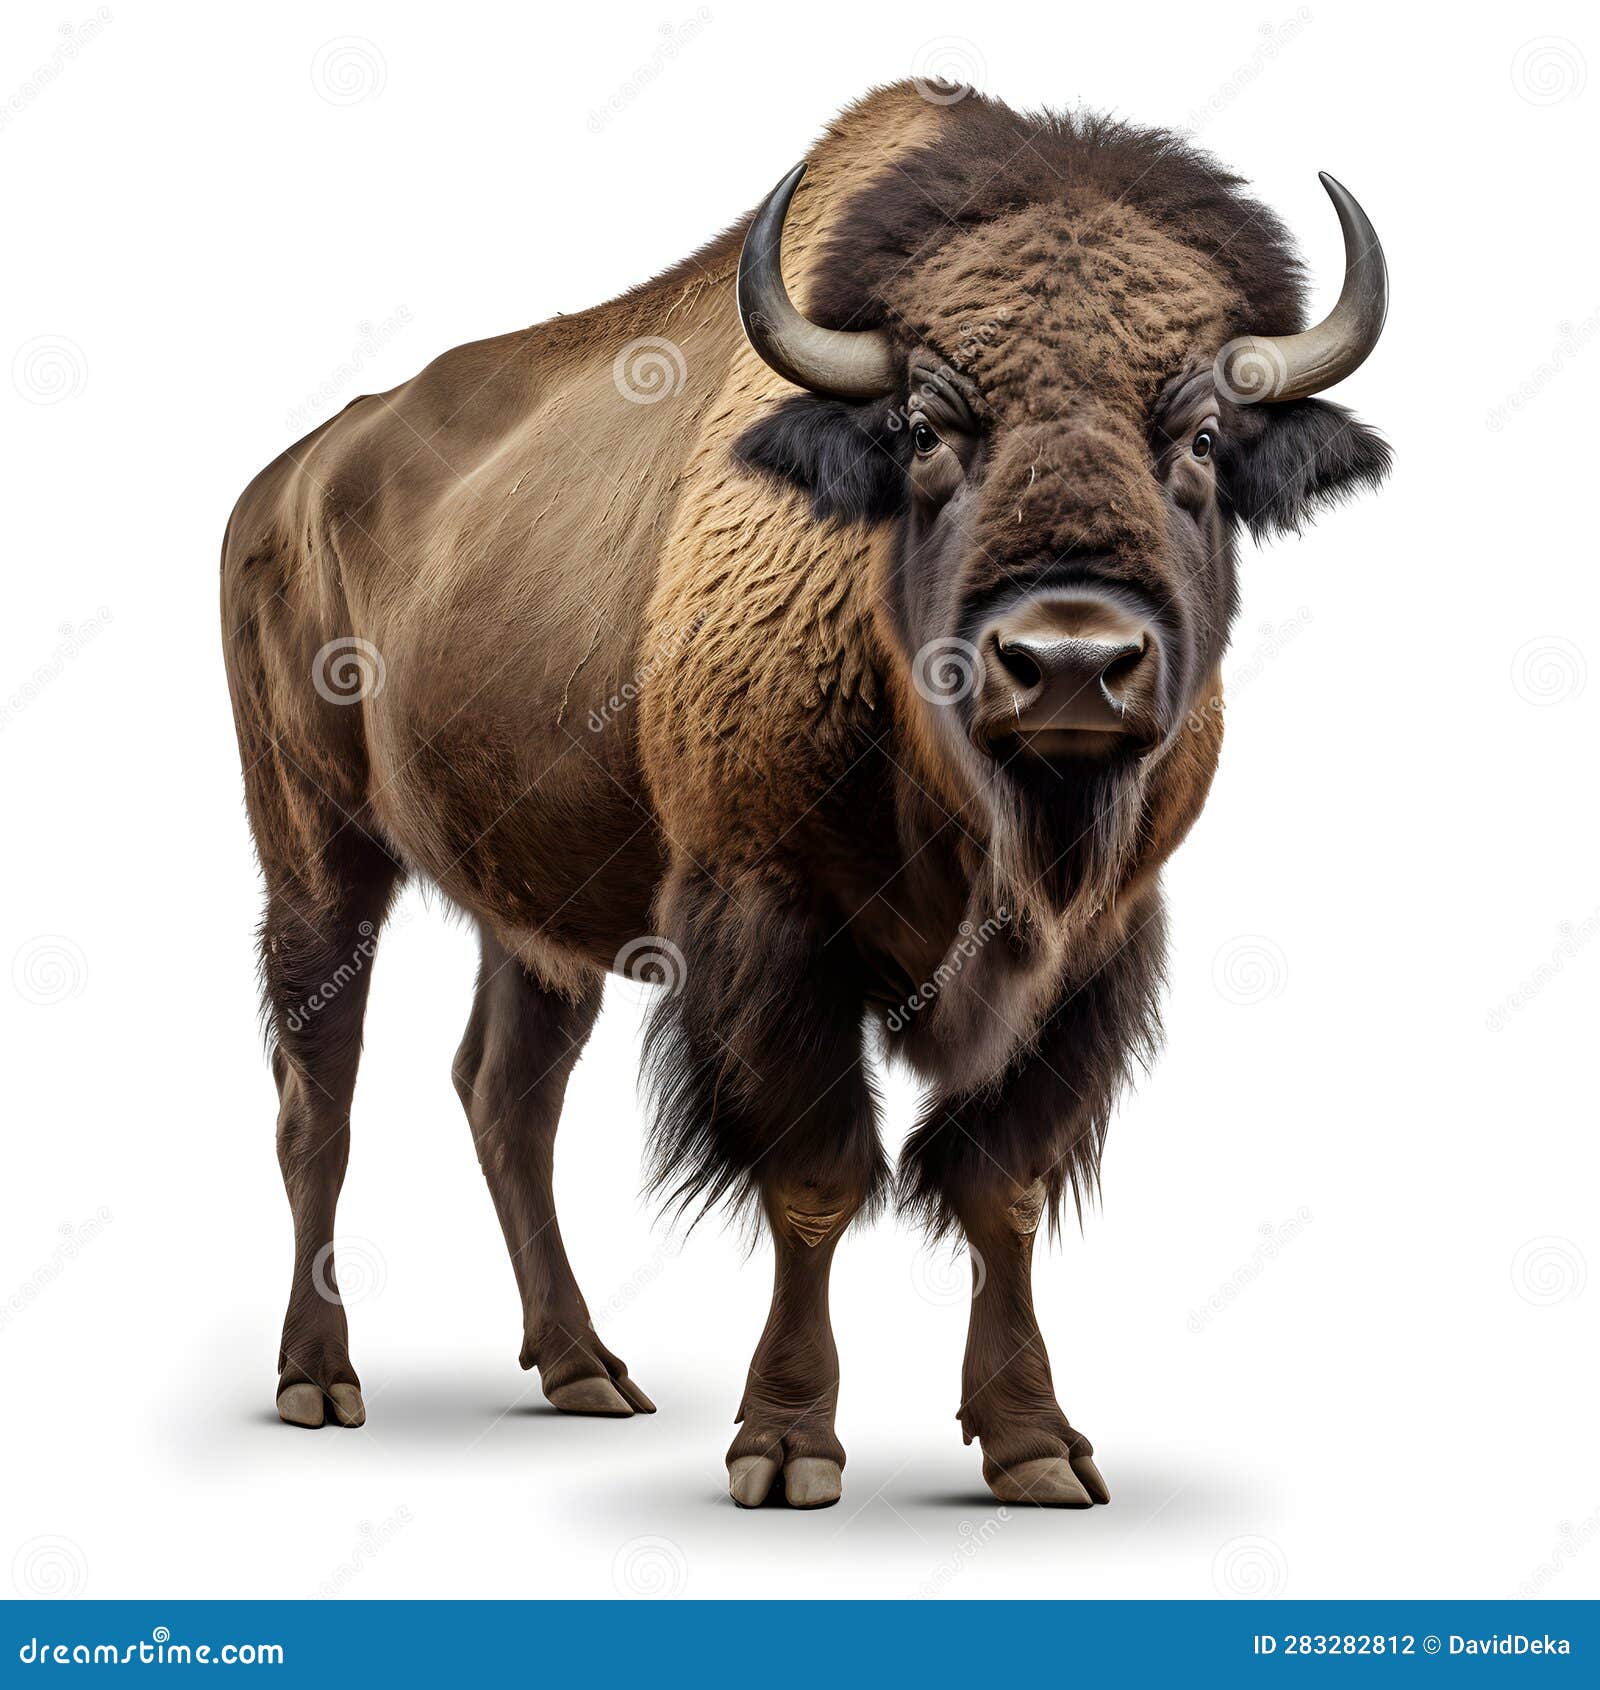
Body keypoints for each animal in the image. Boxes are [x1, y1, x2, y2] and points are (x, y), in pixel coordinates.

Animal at [222, 81, 1388, 1508]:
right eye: (926, 427)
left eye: (1206, 435)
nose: (1069, 661)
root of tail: (286, 480)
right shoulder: (767, 925)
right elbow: (817, 1179)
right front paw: (784, 1447)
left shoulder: (1095, 949)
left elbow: (1000, 1186)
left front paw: (1035, 1444)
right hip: (314, 853)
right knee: (316, 1097)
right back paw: (319, 1379)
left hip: (532, 913)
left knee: (506, 1095)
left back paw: (583, 1369)